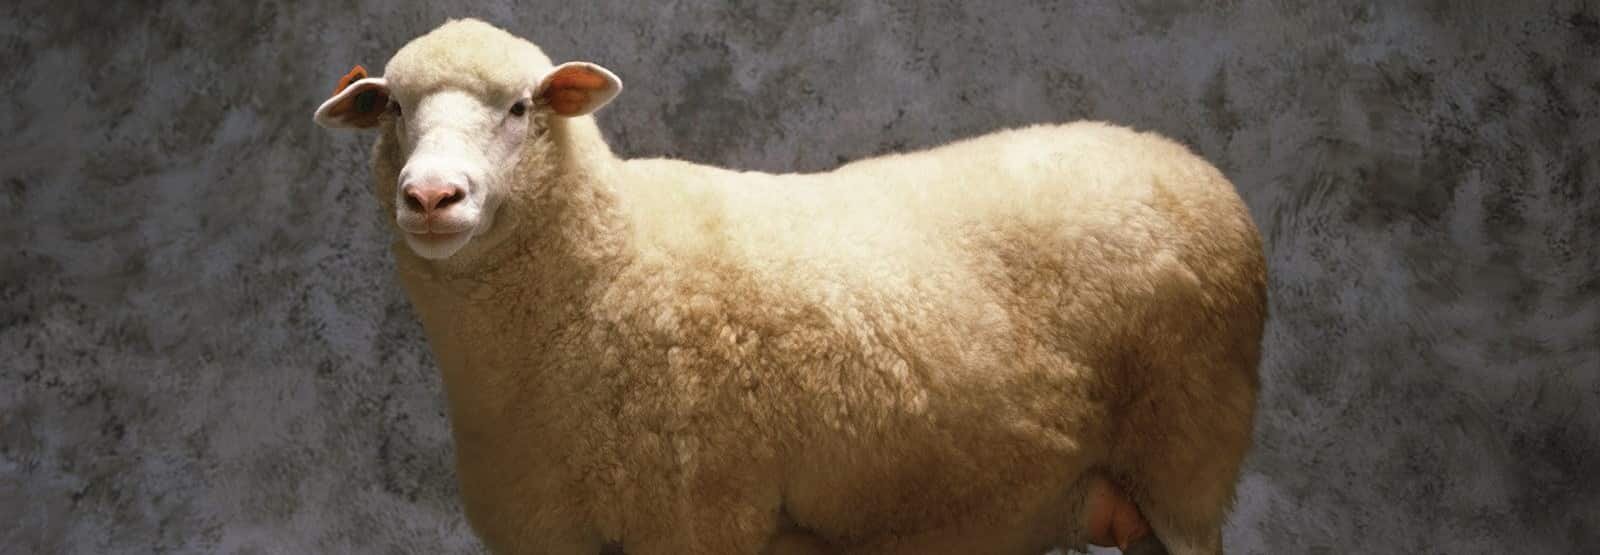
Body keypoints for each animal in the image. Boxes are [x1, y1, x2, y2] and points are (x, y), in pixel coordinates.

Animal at [312, 18, 1267, 555]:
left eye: (519, 107)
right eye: (393, 108)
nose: (431, 197)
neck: (599, 276)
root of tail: (1194, 170)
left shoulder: (696, 522)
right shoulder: (551, 532)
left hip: (1189, 461)